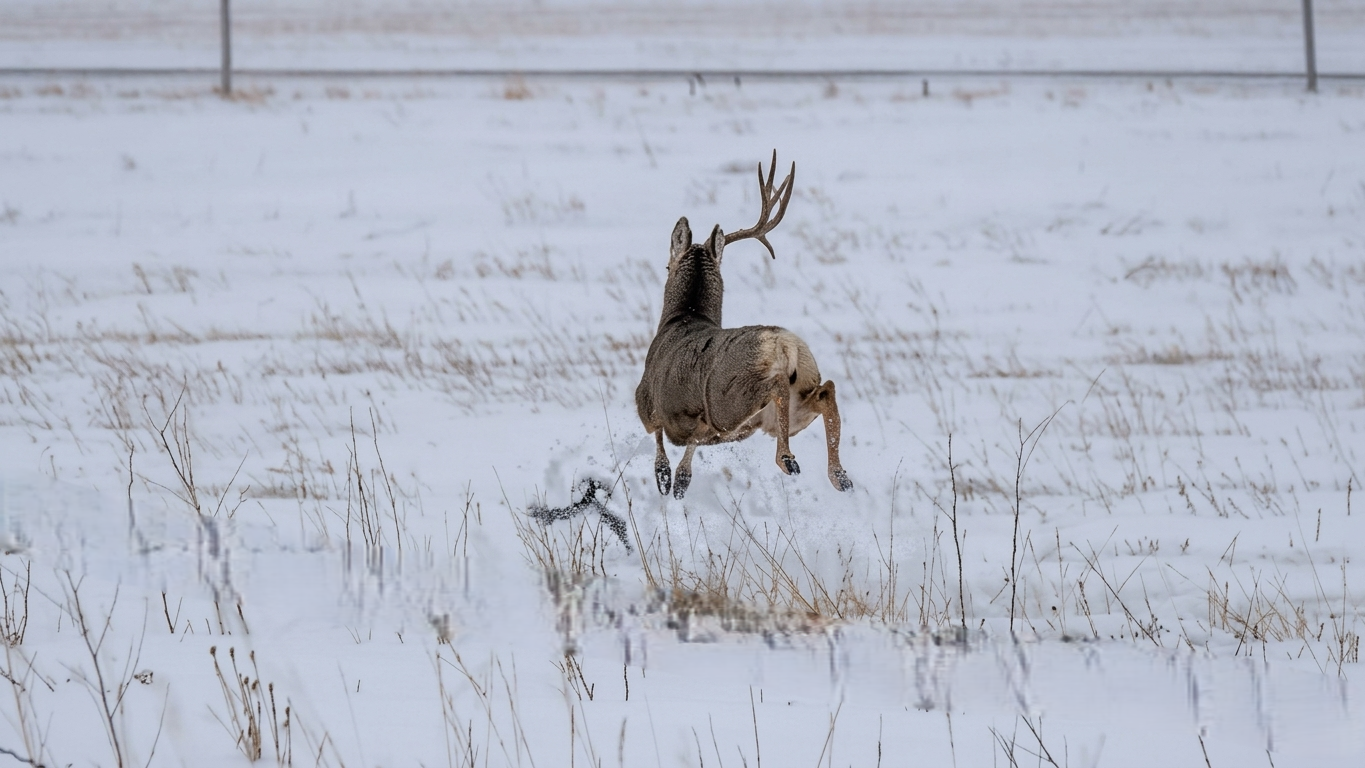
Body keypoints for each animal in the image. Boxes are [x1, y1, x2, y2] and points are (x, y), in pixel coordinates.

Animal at [634, 152, 853, 500]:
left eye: (667, 265)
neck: (685, 318)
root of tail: (783, 343)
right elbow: (689, 454)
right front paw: (679, 481)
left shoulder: (648, 404)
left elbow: (663, 448)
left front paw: (666, 480)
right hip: (791, 403)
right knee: (826, 391)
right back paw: (839, 476)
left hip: (727, 399)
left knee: (777, 386)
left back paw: (788, 460)